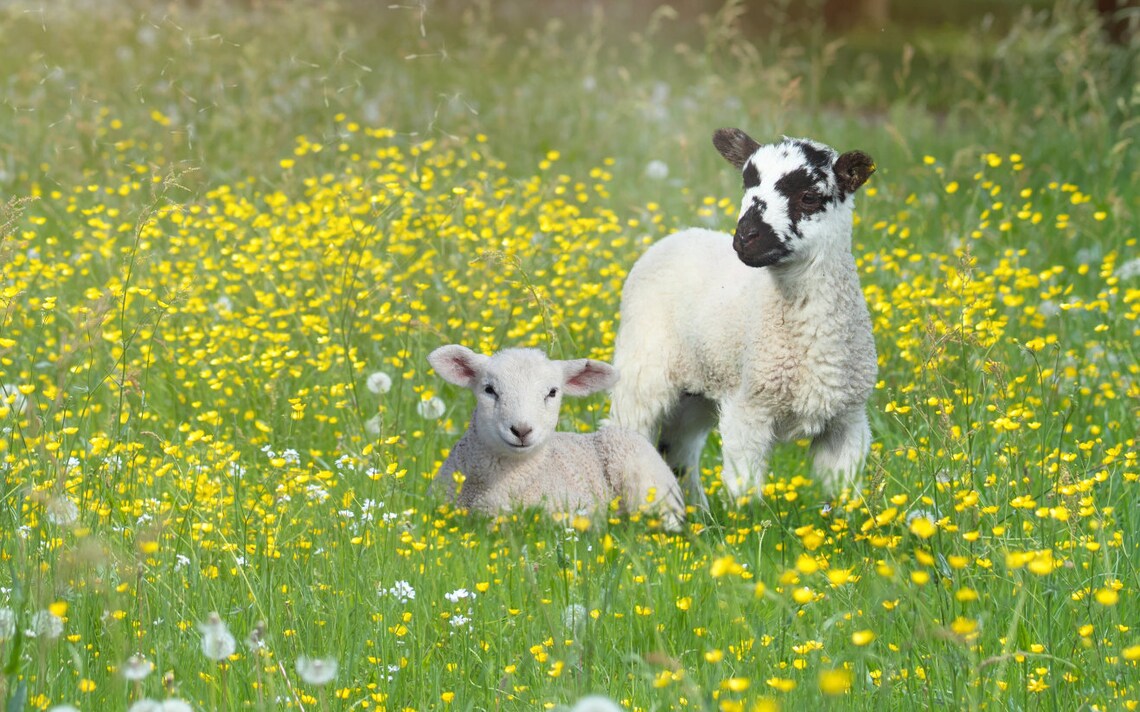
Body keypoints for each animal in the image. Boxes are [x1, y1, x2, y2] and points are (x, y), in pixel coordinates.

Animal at [609, 129, 878, 508]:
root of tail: (683, 233)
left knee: (680, 448)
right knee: (629, 431)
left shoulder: (848, 420)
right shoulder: (748, 408)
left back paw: (695, 510)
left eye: (809, 196)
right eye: (747, 184)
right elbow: (745, 493)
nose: (745, 237)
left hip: (701, 386)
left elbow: (843, 496)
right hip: (642, 366)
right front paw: (745, 521)